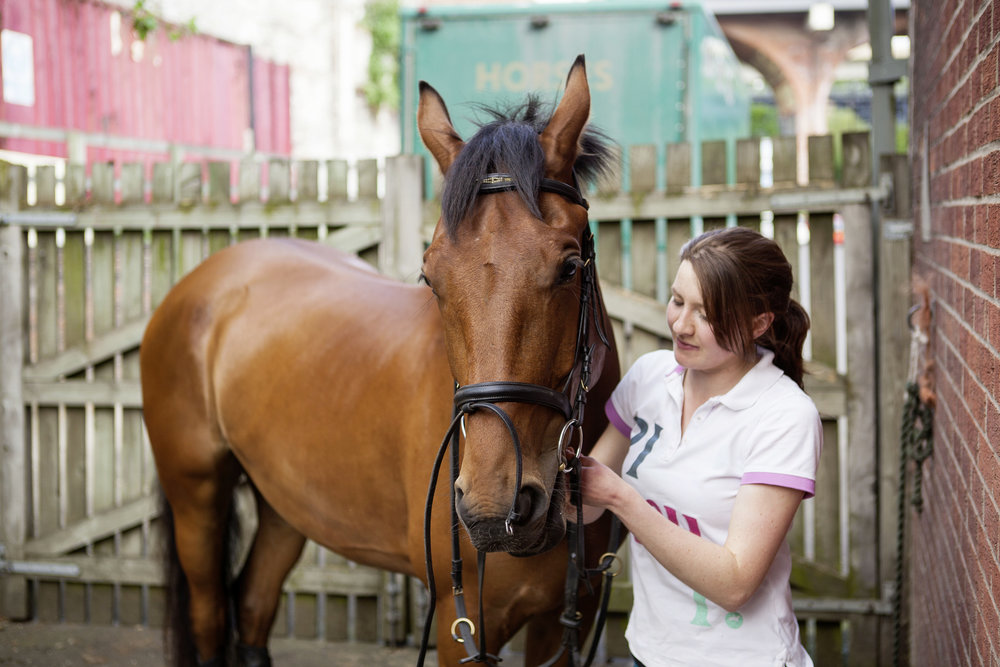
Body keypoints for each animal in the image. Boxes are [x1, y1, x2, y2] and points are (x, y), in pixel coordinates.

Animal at [141, 55, 621, 667]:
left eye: (569, 266)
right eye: (431, 277)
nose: (495, 505)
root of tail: (200, 281)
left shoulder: (564, 623)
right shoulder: (464, 627)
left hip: (285, 504)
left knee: (252, 602)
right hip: (196, 495)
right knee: (209, 612)